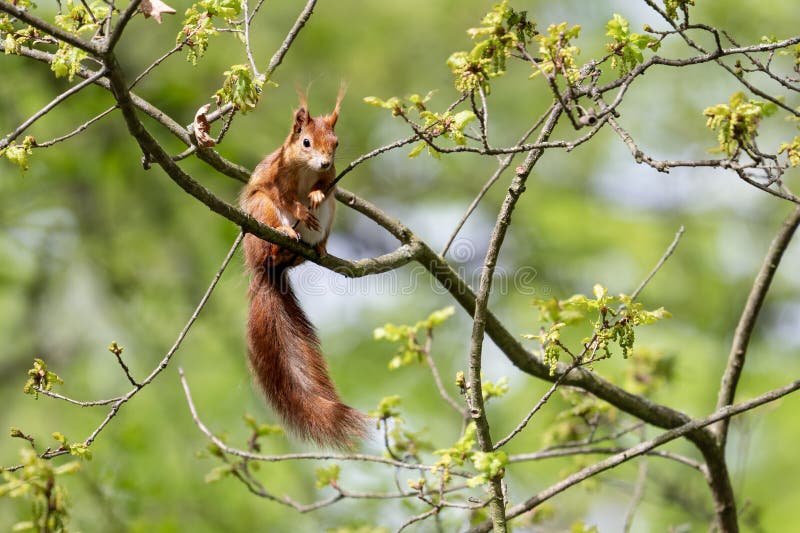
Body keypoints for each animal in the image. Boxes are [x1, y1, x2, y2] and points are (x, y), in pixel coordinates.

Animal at [239, 89, 367, 449]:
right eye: (306, 142)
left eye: (336, 143)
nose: (324, 162)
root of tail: (266, 270)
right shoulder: (275, 176)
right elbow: (282, 194)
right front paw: (298, 208)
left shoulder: (331, 181)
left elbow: (327, 188)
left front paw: (315, 194)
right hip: (261, 214)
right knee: (271, 223)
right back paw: (283, 237)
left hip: (330, 216)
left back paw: (316, 248)